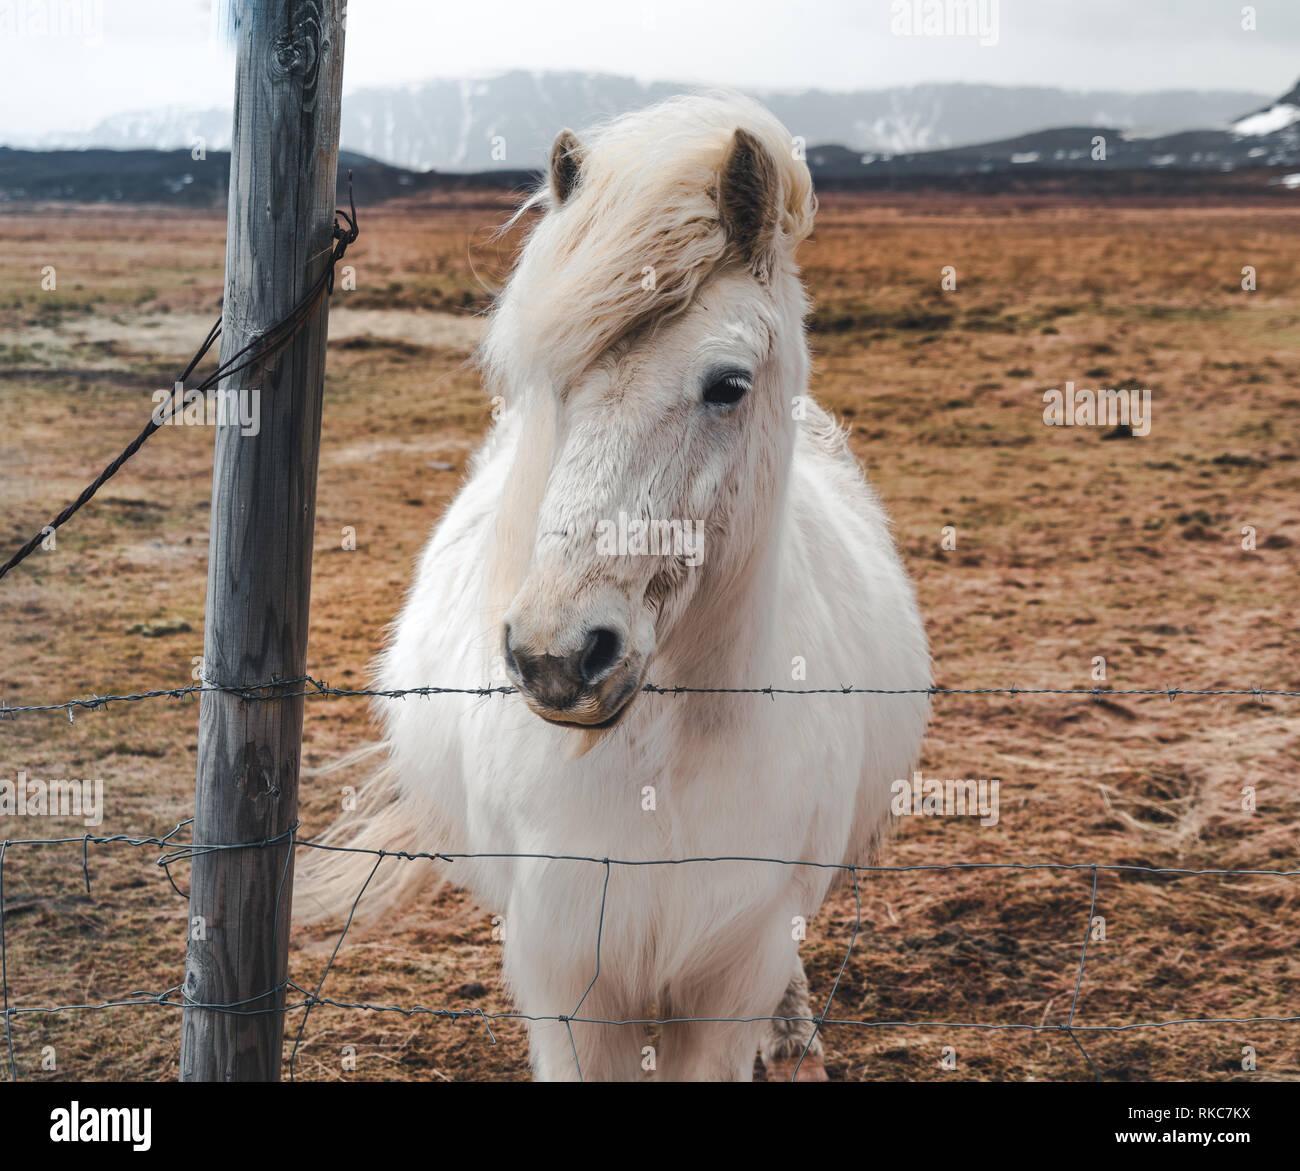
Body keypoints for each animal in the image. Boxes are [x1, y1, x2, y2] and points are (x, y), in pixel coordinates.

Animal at [298, 91, 931, 1081]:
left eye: (728, 384)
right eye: (555, 382)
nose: (558, 655)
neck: (655, 768)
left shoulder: (729, 974)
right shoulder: (570, 985)